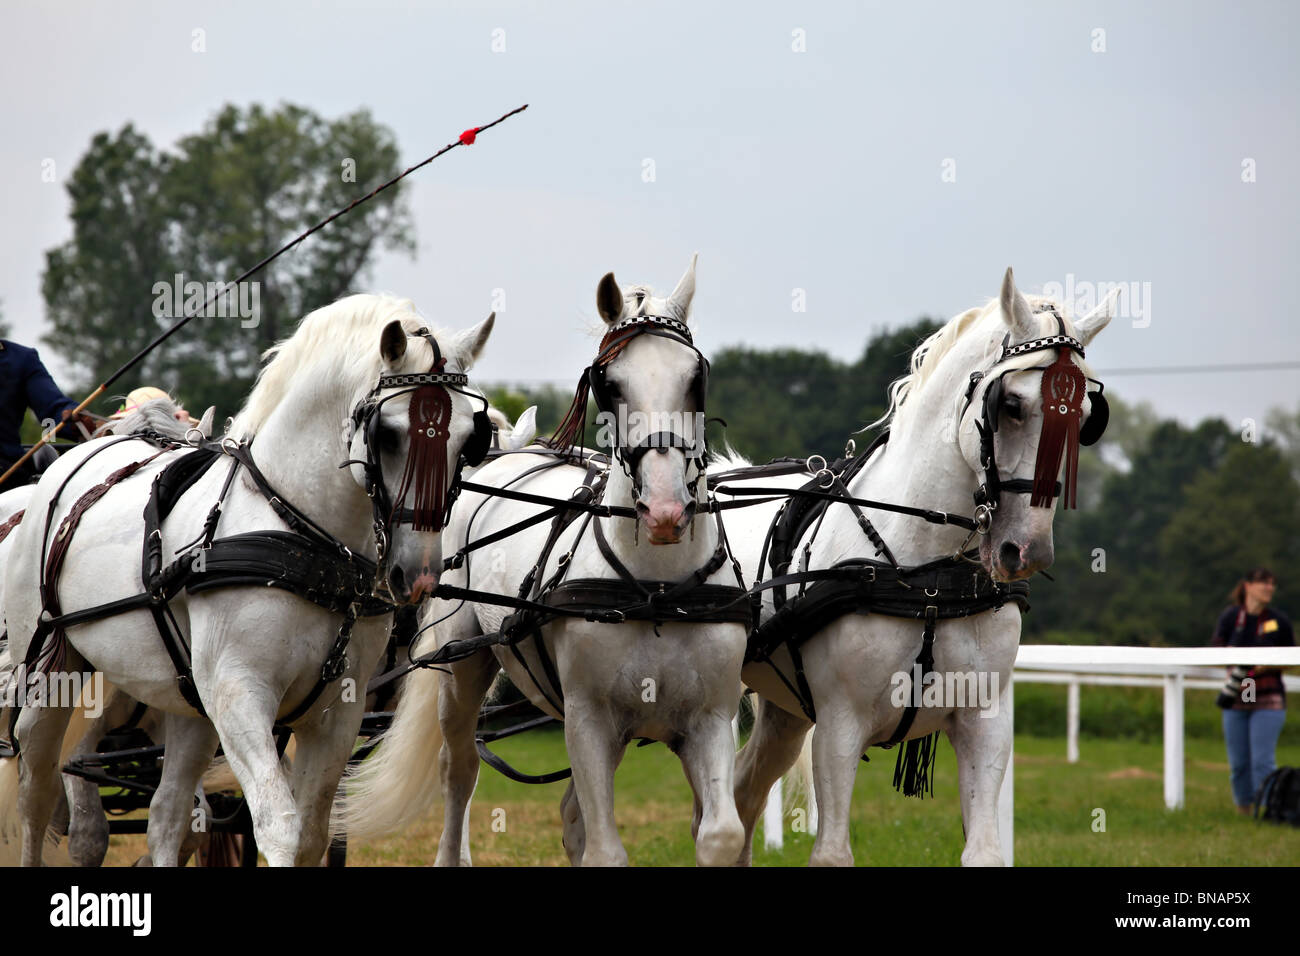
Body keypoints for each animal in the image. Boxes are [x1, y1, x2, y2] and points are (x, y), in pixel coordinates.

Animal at [2, 294, 495, 866]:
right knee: (36, 793)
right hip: (48, 674)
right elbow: (279, 825)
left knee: (169, 814)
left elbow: (313, 831)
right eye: (389, 433)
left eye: (470, 438)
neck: (304, 538)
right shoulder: (240, 694)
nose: (417, 576)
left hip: (189, 700)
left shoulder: (337, 712)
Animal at [337, 256, 752, 866]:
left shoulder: (710, 721)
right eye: (609, 382)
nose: (665, 509)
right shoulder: (590, 720)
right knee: (459, 771)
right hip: (463, 668)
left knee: (571, 813)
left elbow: (721, 833)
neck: (657, 588)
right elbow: (605, 851)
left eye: (695, 378)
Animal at [718, 268, 1115, 866]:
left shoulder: (984, 722)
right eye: (1011, 404)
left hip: (786, 708)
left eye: (1086, 419)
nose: (1027, 552)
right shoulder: (839, 726)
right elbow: (832, 852)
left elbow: (984, 851)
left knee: (744, 794)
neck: (924, 578)